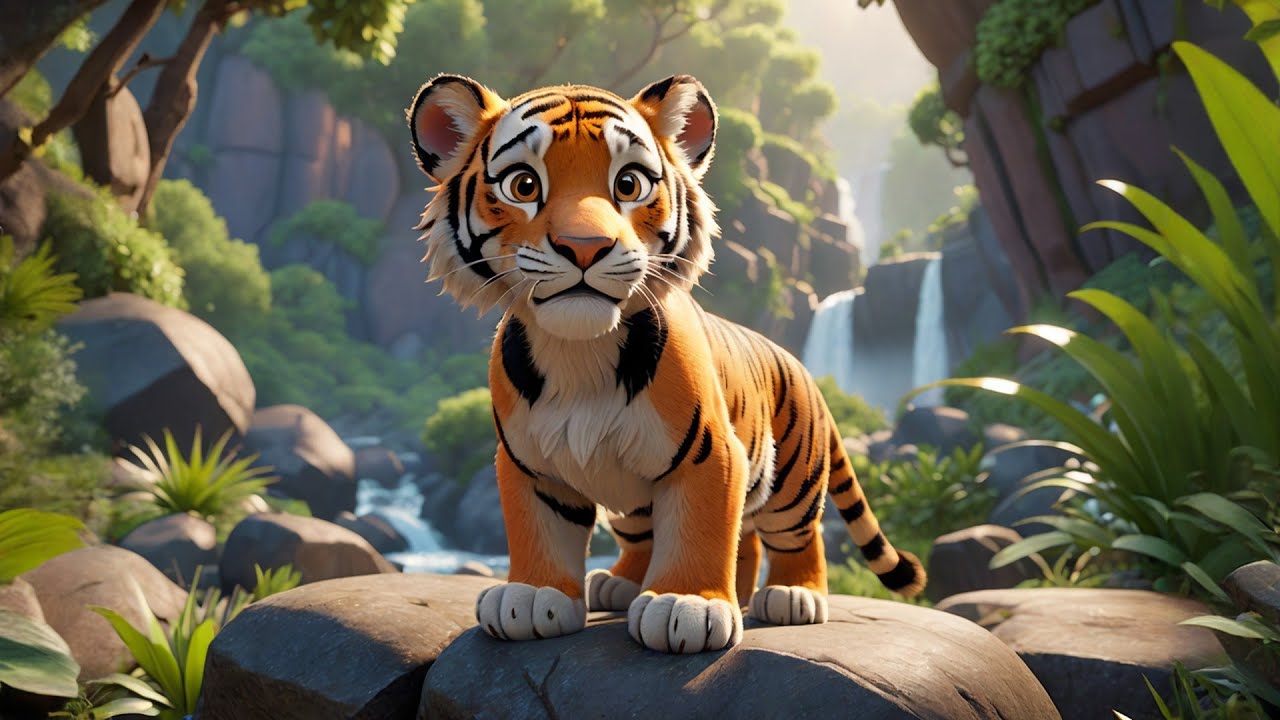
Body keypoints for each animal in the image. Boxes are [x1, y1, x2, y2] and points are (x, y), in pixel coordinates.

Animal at [407, 73, 925, 654]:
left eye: (629, 184)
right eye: (523, 186)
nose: (584, 246)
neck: (579, 352)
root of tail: (802, 368)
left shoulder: (711, 455)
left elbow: (700, 528)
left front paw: (688, 605)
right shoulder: (529, 465)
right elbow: (538, 529)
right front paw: (535, 596)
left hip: (791, 480)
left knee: (795, 536)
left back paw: (793, 596)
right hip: (632, 503)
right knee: (704, 537)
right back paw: (624, 584)